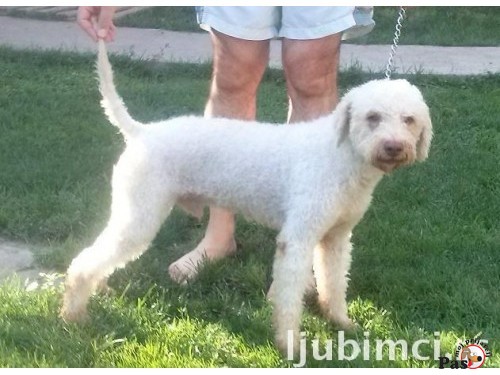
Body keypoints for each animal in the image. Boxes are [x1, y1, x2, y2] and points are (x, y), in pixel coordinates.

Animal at [59, 41, 434, 356]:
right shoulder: (296, 240)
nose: (393, 147)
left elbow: (334, 283)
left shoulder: (336, 238)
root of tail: (142, 131)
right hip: (139, 214)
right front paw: (290, 346)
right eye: (372, 117)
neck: (341, 155)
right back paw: (73, 314)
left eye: (409, 120)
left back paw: (98, 290)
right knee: (84, 261)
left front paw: (340, 322)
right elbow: (287, 299)